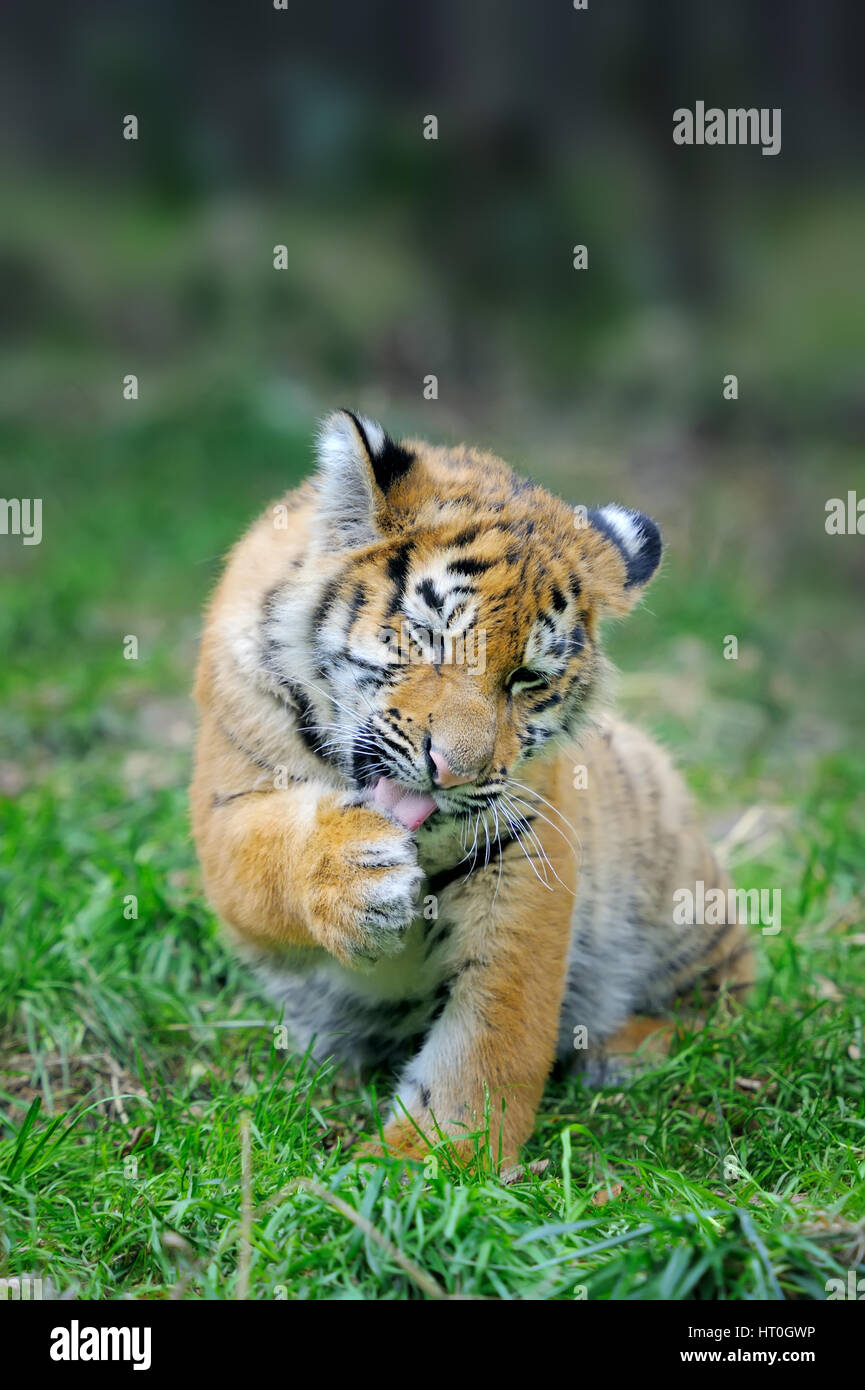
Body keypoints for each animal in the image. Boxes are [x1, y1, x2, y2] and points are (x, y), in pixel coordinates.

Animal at [189, 410, 754, 1166]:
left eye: (526, 679)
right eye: (428, 636)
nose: (451, 768)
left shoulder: (526, 854)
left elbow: (492, 1036)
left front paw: (430, 1162)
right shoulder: (223, 811)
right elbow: (270, 855)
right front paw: (352, 872)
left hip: (679, 895)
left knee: (728, 1005)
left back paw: (625, 1048)